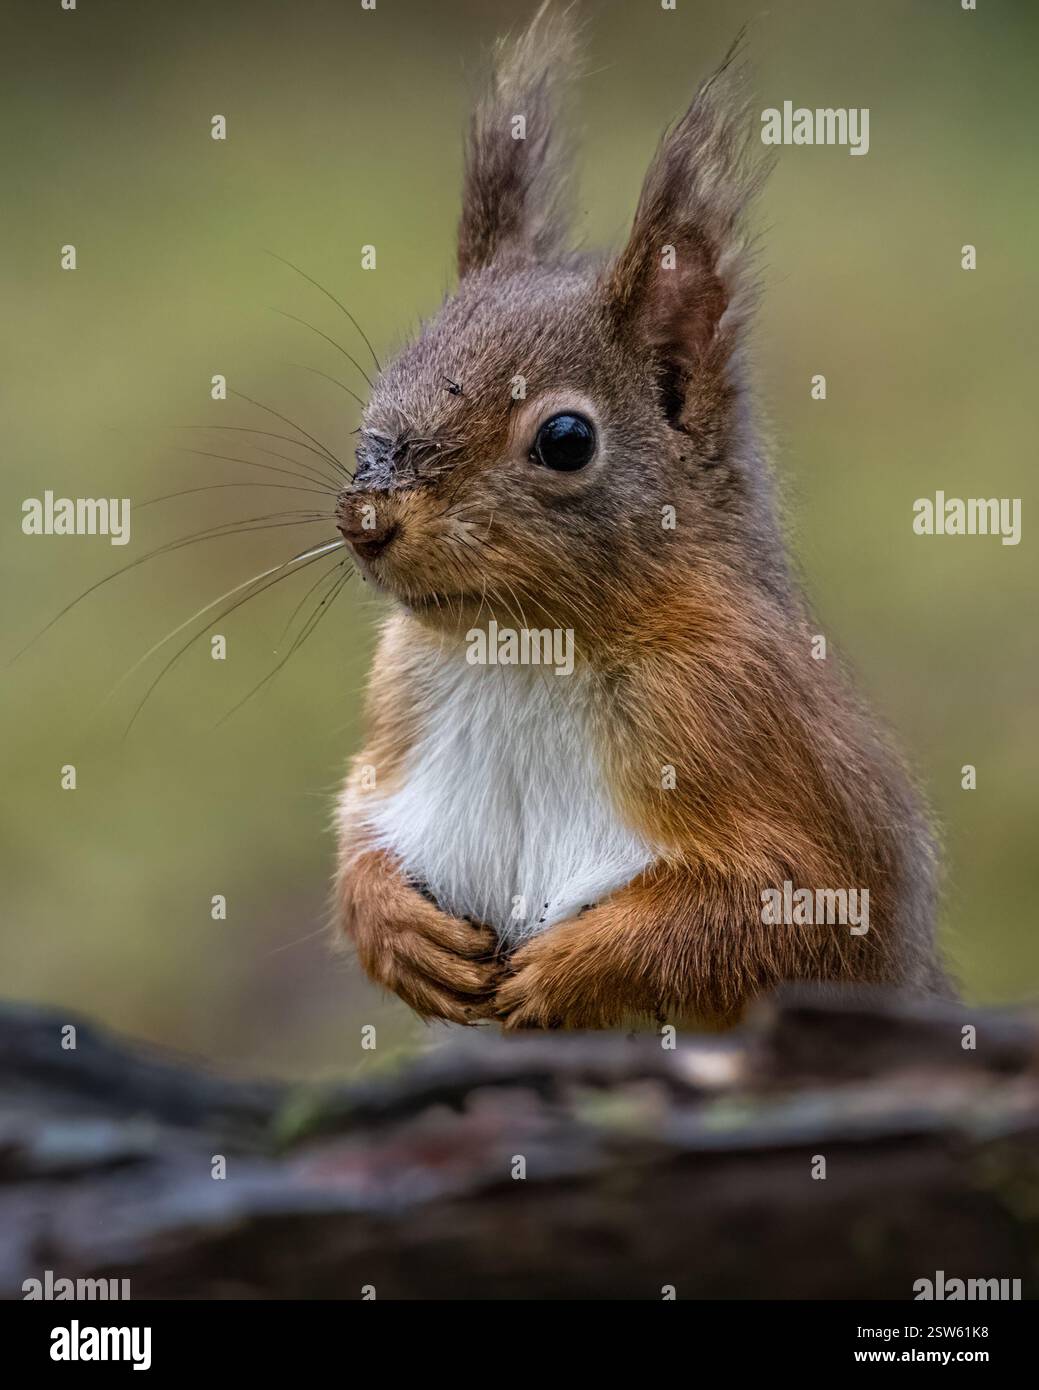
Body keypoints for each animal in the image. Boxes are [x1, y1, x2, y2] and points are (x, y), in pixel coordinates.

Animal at [333, 4, 951, 1030]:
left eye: (565, 438)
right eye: (385, 382)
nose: (366, 521)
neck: (524, 653)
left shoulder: (750, 724)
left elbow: (777, 919)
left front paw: (567, 971)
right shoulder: (395, 711)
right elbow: (356, 829)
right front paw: (395, 927)